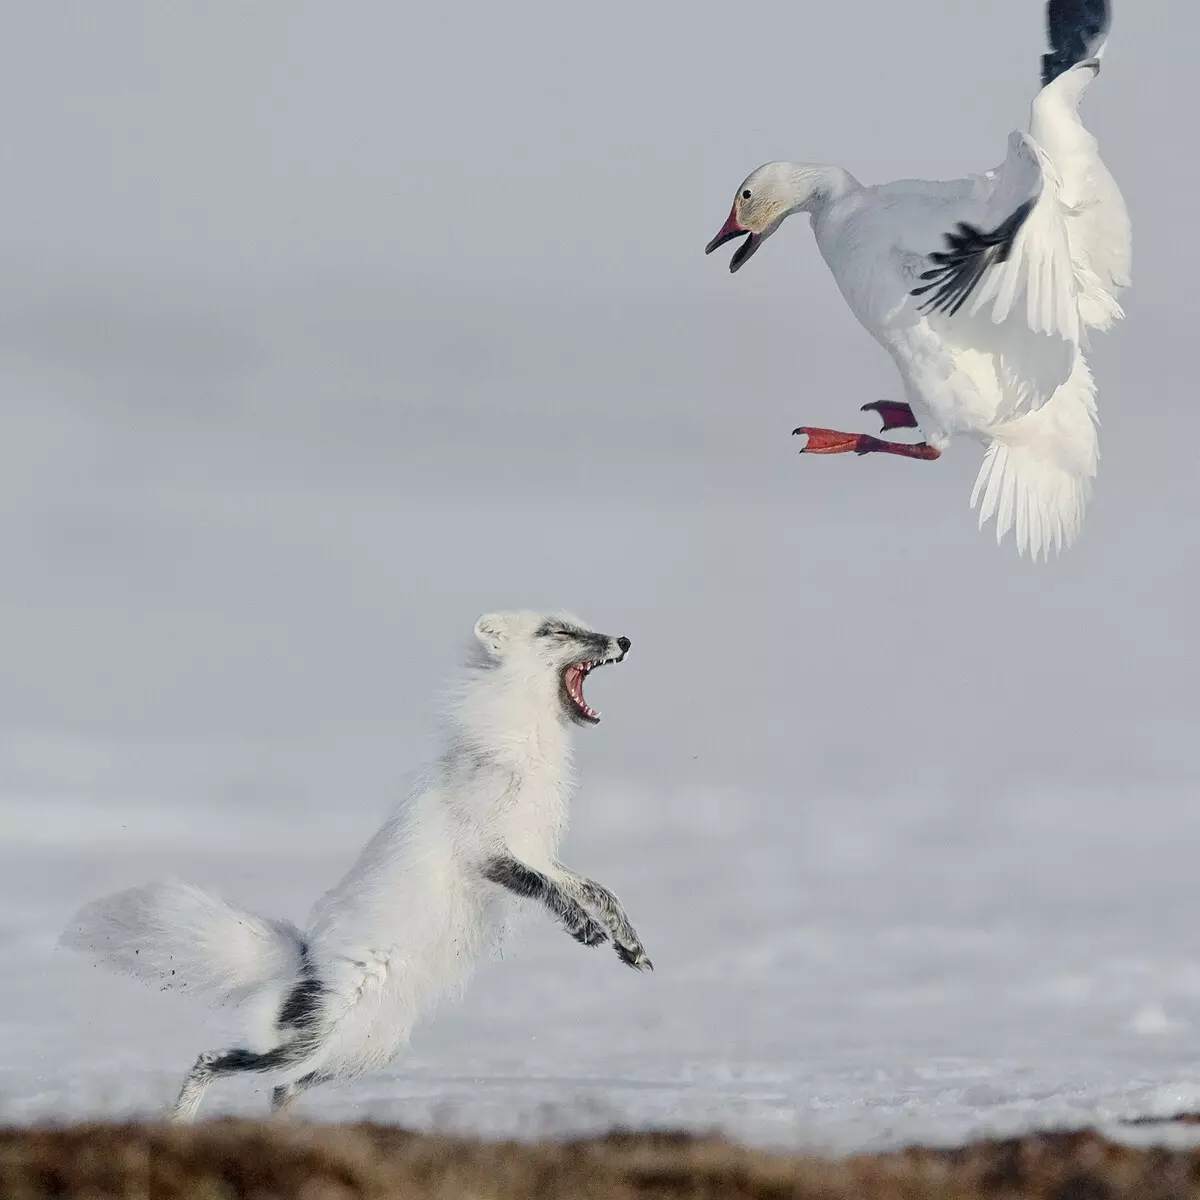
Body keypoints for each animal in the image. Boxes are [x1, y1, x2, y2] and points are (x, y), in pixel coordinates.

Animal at [60, 614, 652, 1118]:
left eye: (583, 623)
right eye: (558, 630)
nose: (624, 639)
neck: (524, 745)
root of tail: (303, 961)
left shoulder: (538, 851)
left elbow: (598, 891)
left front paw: (630, 946)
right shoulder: (490, 853)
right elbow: (549, 892)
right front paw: (583, 930)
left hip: (367, 1051)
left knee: (282, 1088)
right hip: (318, 1038)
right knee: (214, 1061)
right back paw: (182, 1124)